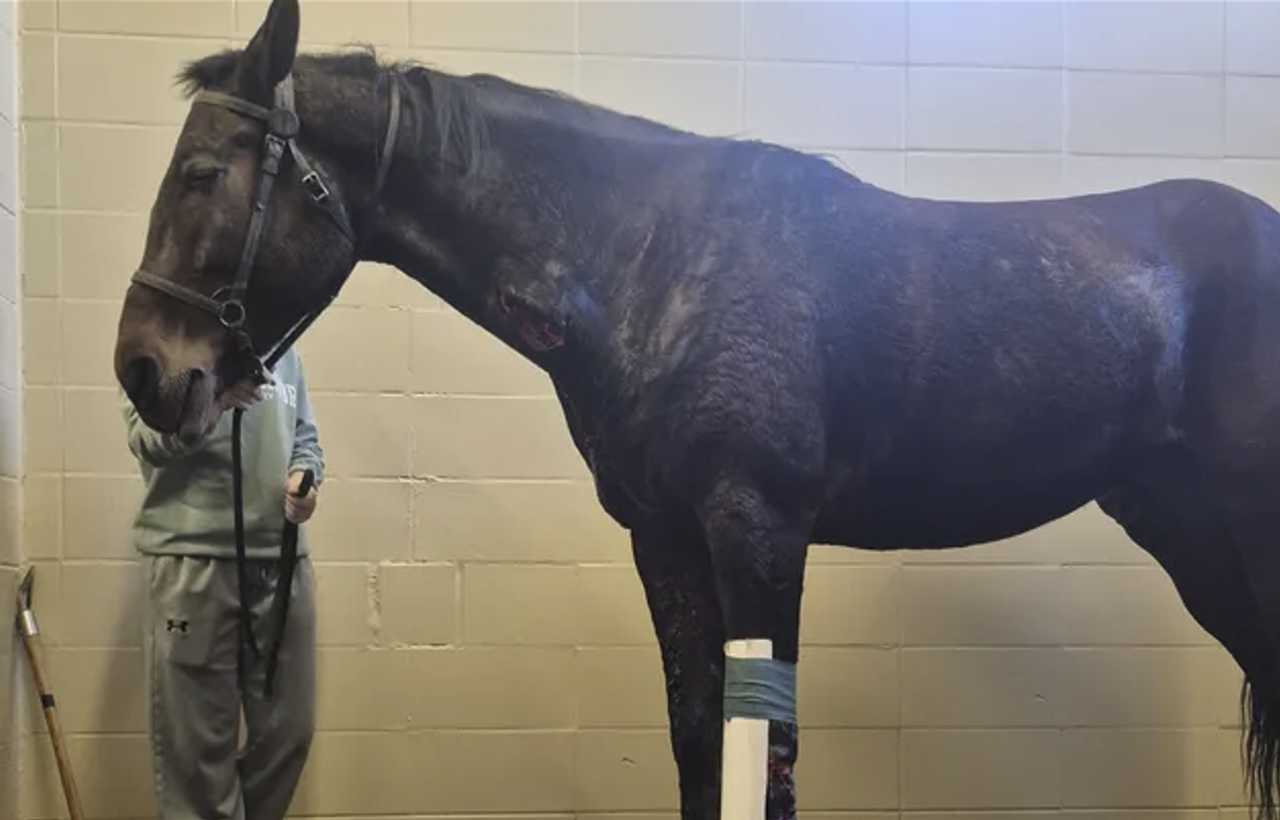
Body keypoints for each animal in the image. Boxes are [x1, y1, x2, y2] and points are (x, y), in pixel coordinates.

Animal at [111, 1, 1280, 818]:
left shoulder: (756, 528)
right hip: (1189, 536)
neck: (644, 261)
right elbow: (695, 735)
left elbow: (767, 750)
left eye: (204, 172)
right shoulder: (664, 536)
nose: (144, 370)